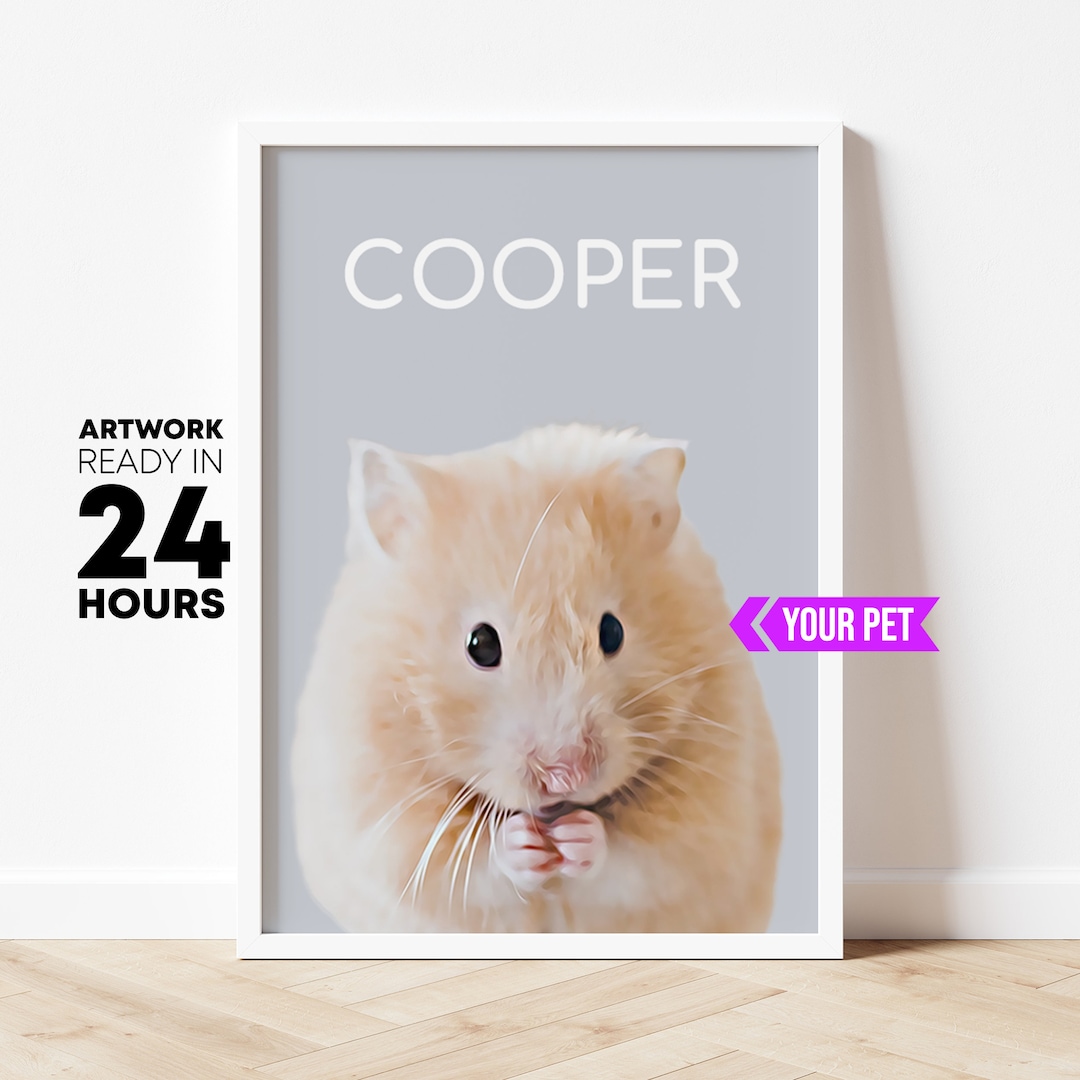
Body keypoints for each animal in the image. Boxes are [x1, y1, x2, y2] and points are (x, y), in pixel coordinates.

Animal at [291, 425, 781, 933]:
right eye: (481, 644)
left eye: (613, 632)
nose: (567, 776)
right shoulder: (384, 820)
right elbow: (470, 866)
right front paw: (523, 843)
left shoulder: (704, 819)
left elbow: (635, 859)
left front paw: (578, 835)